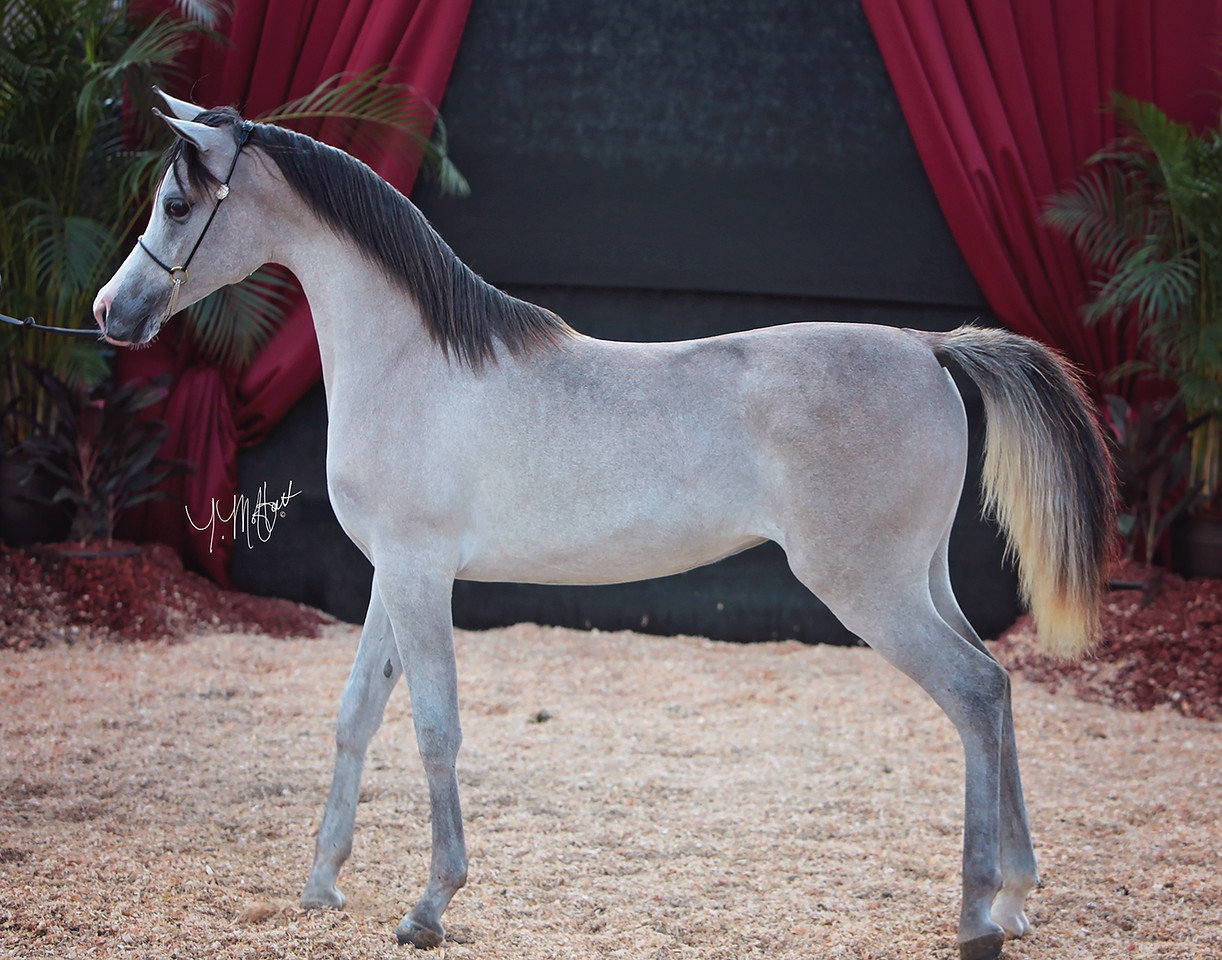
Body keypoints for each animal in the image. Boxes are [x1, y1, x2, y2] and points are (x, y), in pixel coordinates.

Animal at [93, 91, 1116, 960]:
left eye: (178, 203)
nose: (111, 311)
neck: (412, 363)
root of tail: (927, 346)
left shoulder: (421, 572)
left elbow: (434, 727)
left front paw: (429, 906)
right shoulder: (392, 572)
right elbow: (357, 717)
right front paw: (321, 886)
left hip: (868, 589)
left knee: (975, 694)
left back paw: (976, 917)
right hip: (922, 580)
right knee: (998, 688)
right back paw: (1016, 897)